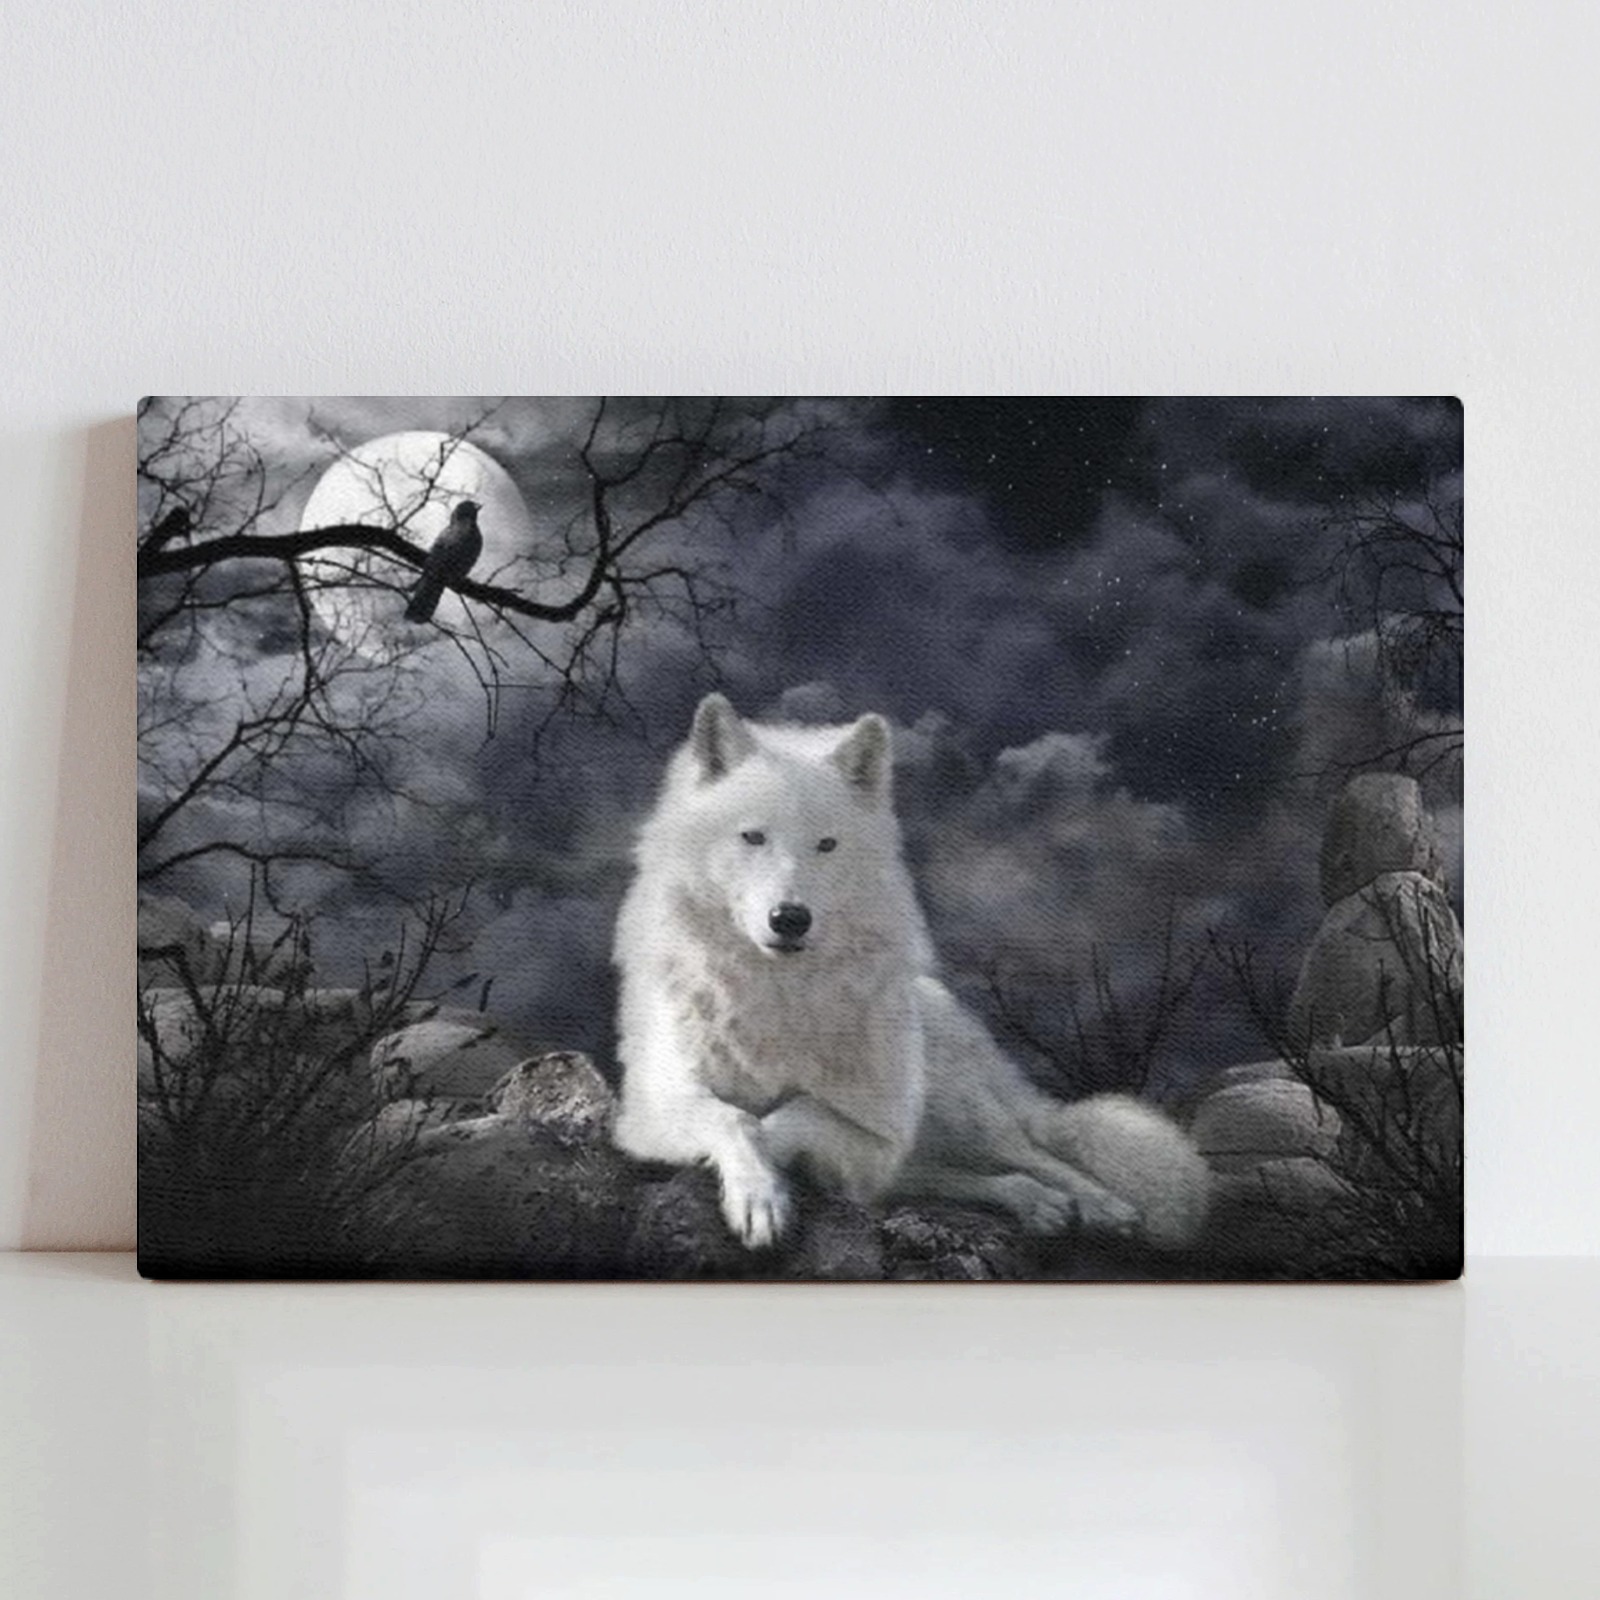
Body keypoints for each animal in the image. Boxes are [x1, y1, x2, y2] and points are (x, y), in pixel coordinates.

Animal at [612, 694, 1211, 1252]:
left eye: (827, 844)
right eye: (753, 837)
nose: (790, 919)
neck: (775, 991)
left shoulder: (881, 1130)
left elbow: (791, 1115)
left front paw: (773, 1177)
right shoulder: (648, 1112)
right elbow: (733, 1117)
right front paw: (759, 1197)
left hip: (961, 1111)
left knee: (1037, 1153)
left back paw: (1103, 1206)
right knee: (964, 1177)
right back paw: (1037, 1205)